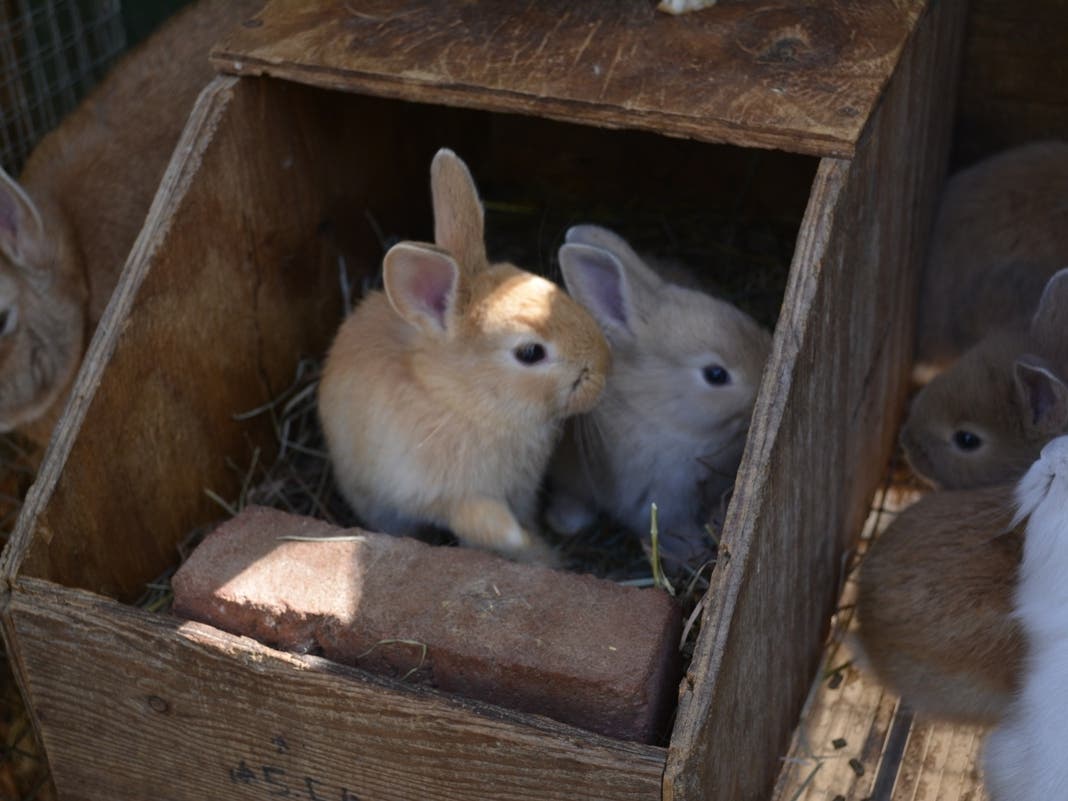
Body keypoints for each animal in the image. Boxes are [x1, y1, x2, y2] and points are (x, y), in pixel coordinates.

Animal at [317, 149, 610, 565]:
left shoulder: (521, 490)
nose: (604, 369)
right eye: (530, 353)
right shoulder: (452, 495)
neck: (462, 400)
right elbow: (491, 524)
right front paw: (536, 552)